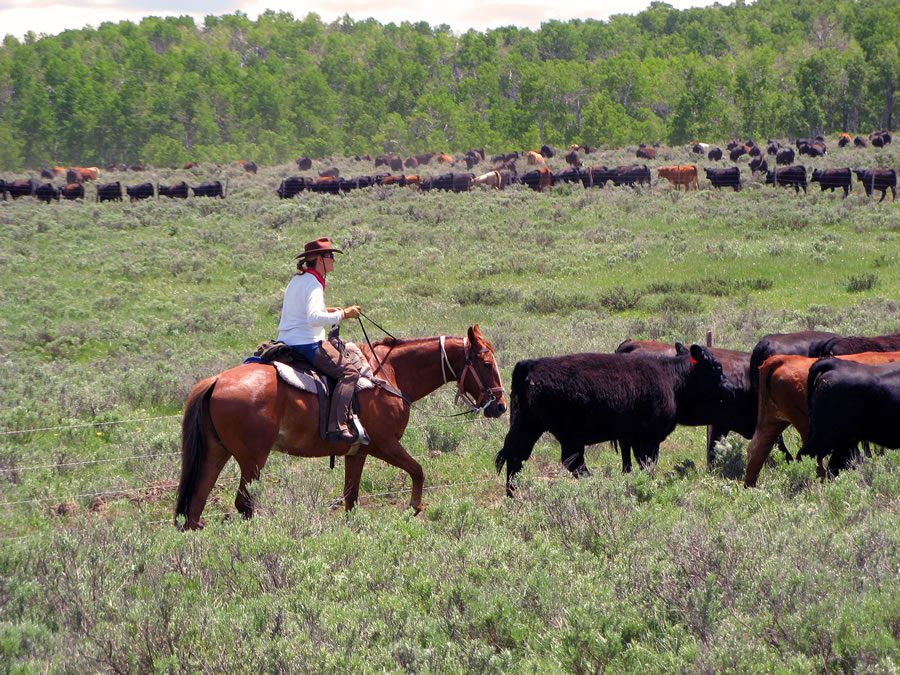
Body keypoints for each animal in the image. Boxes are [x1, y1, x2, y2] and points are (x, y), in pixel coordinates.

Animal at [494, 345, 735, 495]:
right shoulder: (647, 440)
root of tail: (530, 365)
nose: (731, 388)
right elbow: (647, 464)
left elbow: (631, 464)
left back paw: (513, 495)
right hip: (566, 436)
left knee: (516, 458)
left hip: (529, 427)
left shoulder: (629, 438)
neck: (671, 378)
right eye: (717, 367)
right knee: (571, 463)